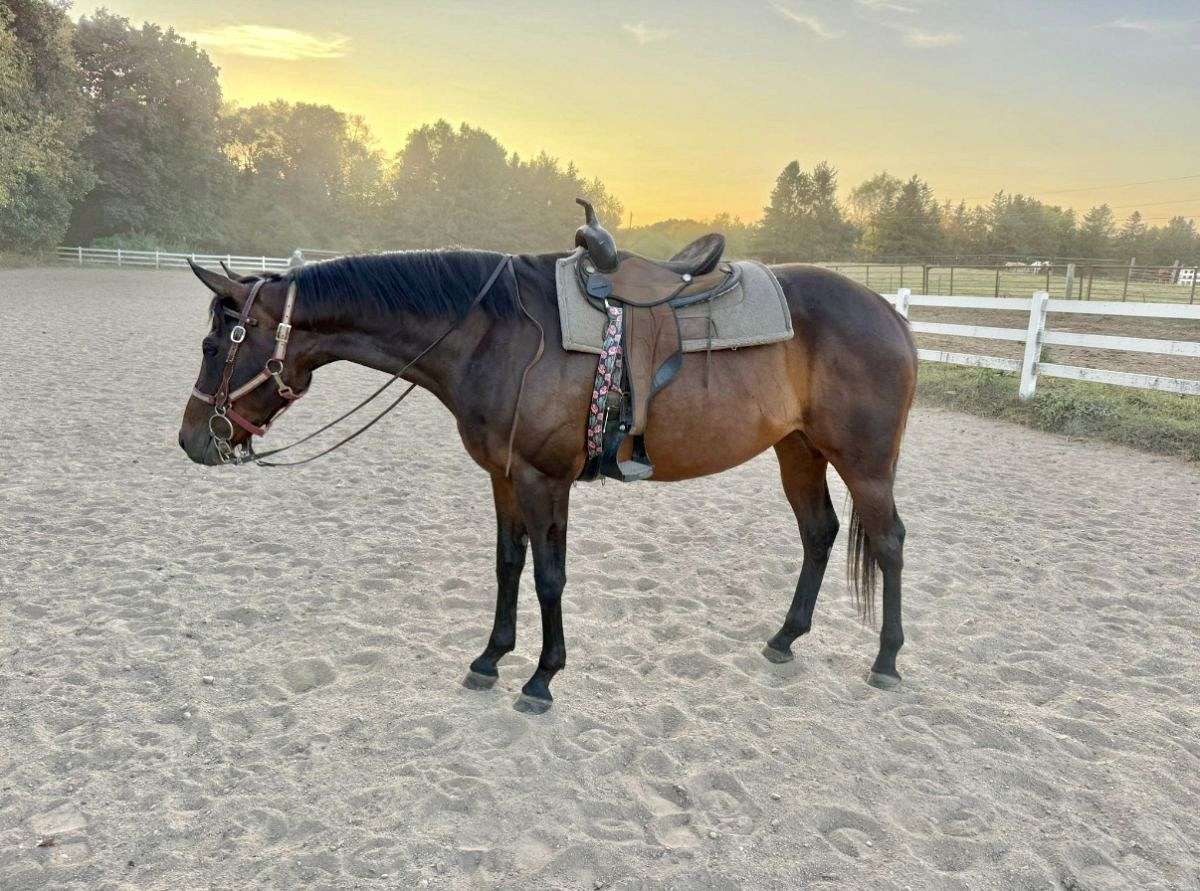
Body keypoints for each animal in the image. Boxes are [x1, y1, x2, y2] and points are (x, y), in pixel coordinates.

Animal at [178, 249, 917, 712]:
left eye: (217, 345)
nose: (192, 440)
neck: (492, 333)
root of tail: (891, 314)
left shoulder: (544, 480)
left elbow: (549, 576)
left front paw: (541, 677)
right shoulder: (506, 477)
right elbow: (508, 563)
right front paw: (490, 658)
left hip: (865, 463)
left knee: (888, 542)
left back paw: (886, 660)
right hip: (800, 450)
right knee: (819, 533)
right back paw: (785, 638)